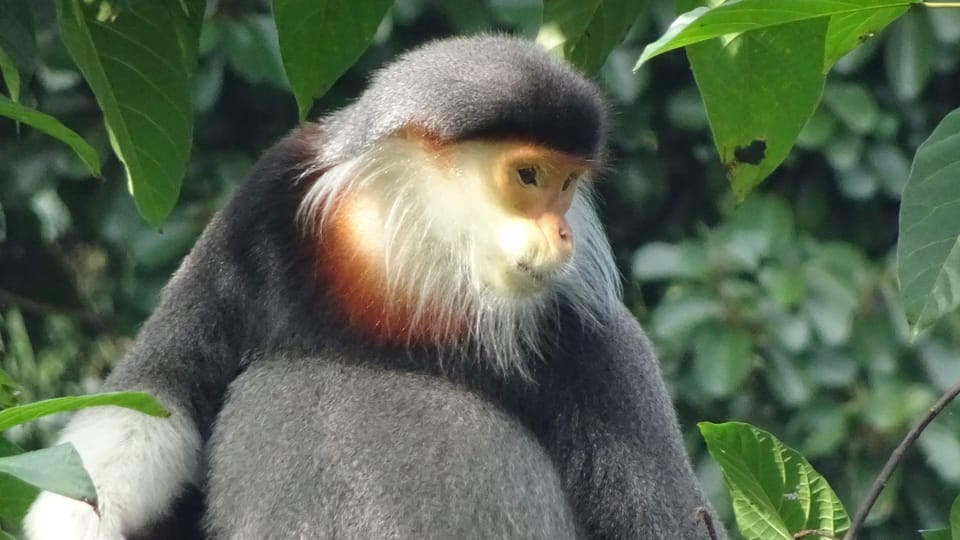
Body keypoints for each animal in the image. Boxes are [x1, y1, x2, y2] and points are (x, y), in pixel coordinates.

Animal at [23, 35, 726, 539]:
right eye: (530, 176)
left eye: (569, 184)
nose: (561, 233)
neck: (408, 270)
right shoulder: (257, 215)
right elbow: (157, 394)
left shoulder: (594, 336)